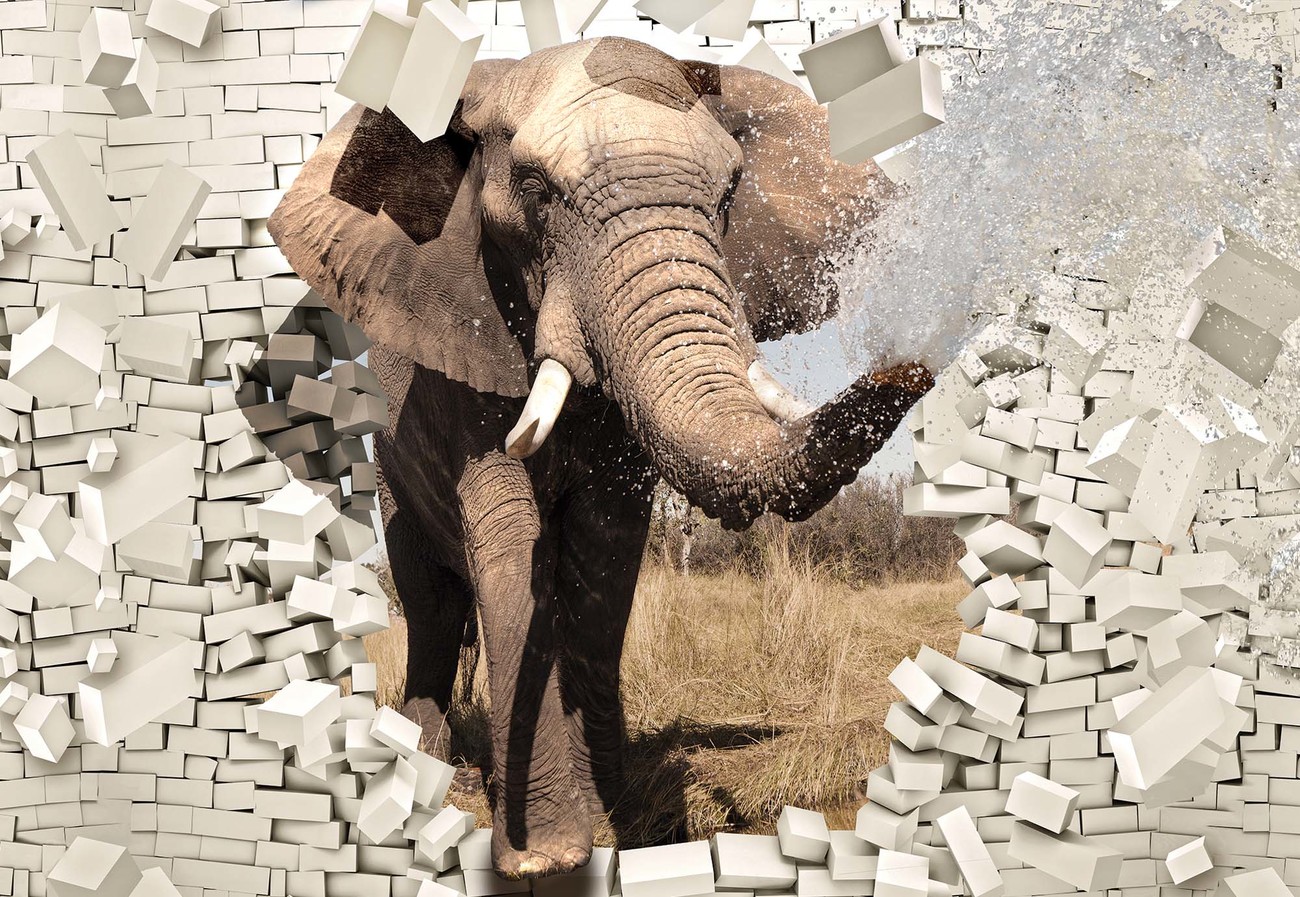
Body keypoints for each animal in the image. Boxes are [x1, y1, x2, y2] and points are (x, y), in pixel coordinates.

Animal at [268, 36, 933, 879]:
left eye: (729, 193)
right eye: (534, 190)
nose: (910, 366)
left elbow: (605, 554)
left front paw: (629, 820)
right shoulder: (460, 350)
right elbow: (507, 540)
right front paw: (546, 856)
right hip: (389, 458)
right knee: (429, 596)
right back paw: (429, 766)